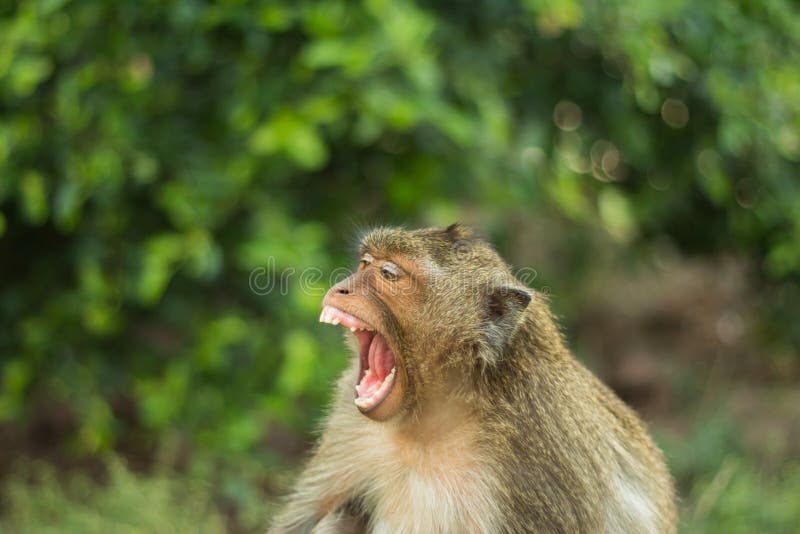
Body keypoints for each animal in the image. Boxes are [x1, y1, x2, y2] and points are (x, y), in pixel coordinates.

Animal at [268, 224, 677, 533]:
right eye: (365, 263)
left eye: (388, 274)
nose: (343, 287)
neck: (434, 419)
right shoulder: (349, 422)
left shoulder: (541, 461)